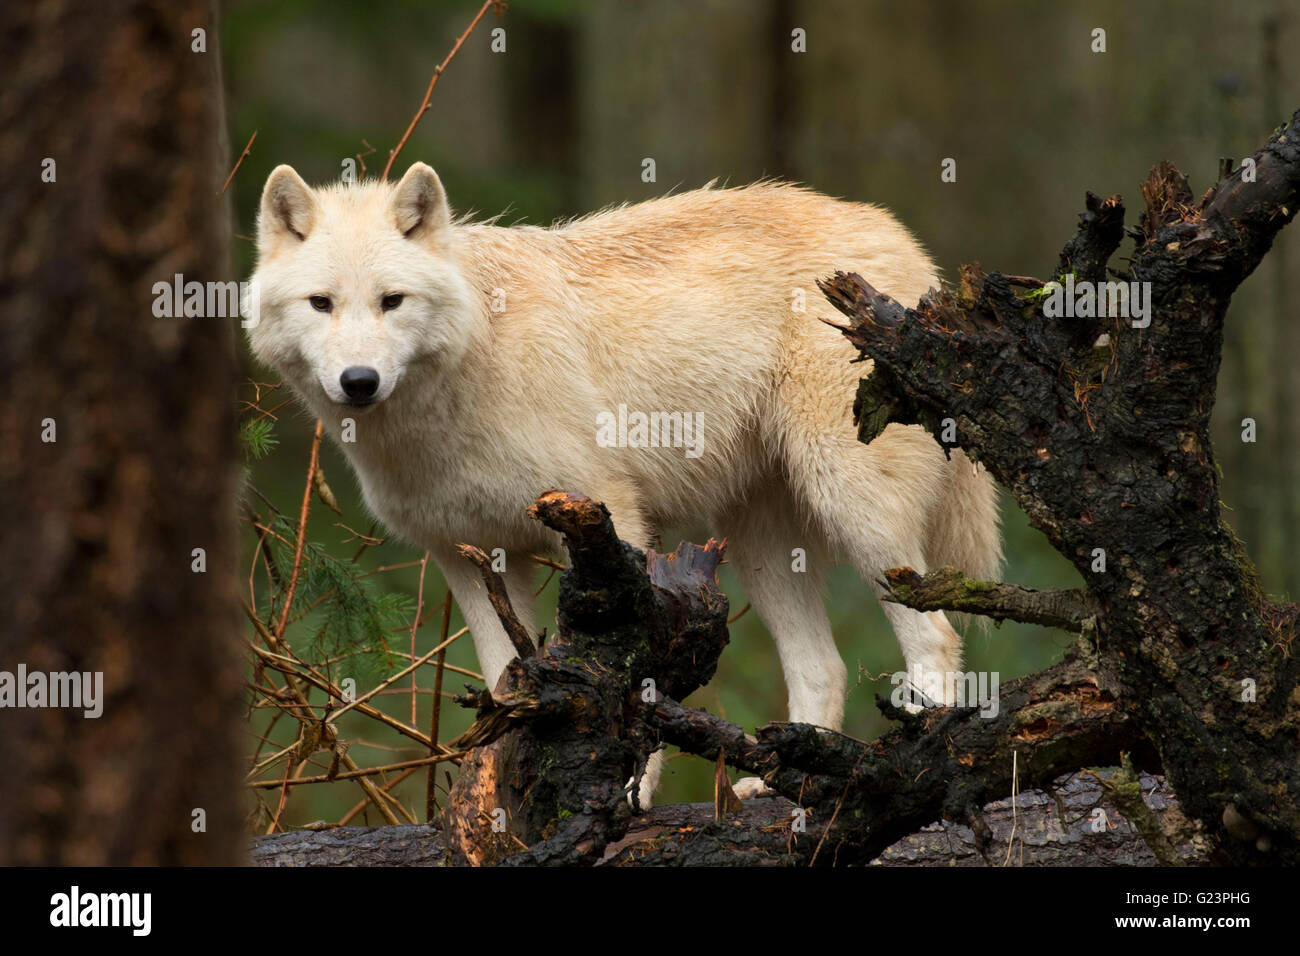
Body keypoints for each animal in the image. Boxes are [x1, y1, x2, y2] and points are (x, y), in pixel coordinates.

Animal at [247, 163, 1002, 804]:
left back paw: (922, 756)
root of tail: (899, 236)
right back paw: (773, 787)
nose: (359, 382)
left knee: (935, 635)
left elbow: (630, 689)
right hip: (762, 549)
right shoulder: (472, 559)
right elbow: (503, 687)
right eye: (322, 304)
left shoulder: (613, 524)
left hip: (853, 507)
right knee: (825, 666)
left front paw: (626, 796)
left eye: (391, 301)